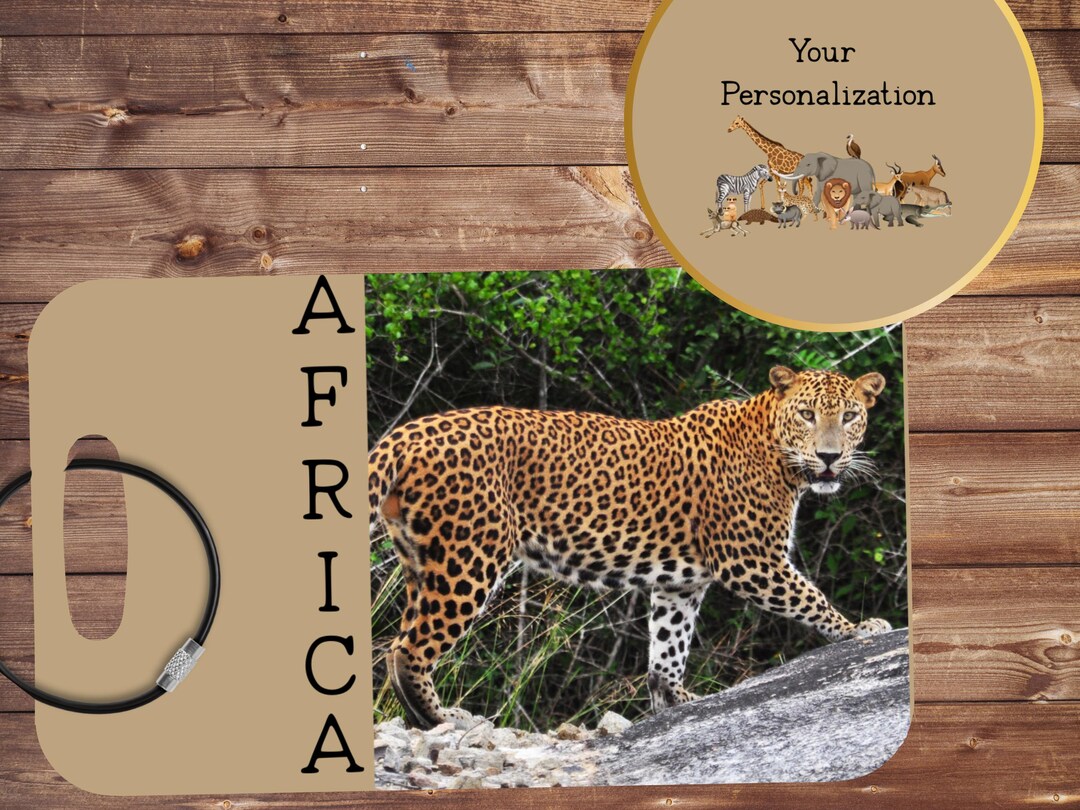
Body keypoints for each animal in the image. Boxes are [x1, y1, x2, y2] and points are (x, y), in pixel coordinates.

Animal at [368, 366, 893, 730]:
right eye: (807, 414)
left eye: (849, 416)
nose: (829, 457)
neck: (777, 453)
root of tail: (404, 434)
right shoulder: (750, 559)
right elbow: (810, 597)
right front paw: (857, 629)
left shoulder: (681, 585)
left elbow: (668, 646)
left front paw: (677, 701)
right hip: (469, 556)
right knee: (408, 647)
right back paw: (441, 719)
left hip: (420, 561)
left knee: (401, 640)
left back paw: (423, 719)